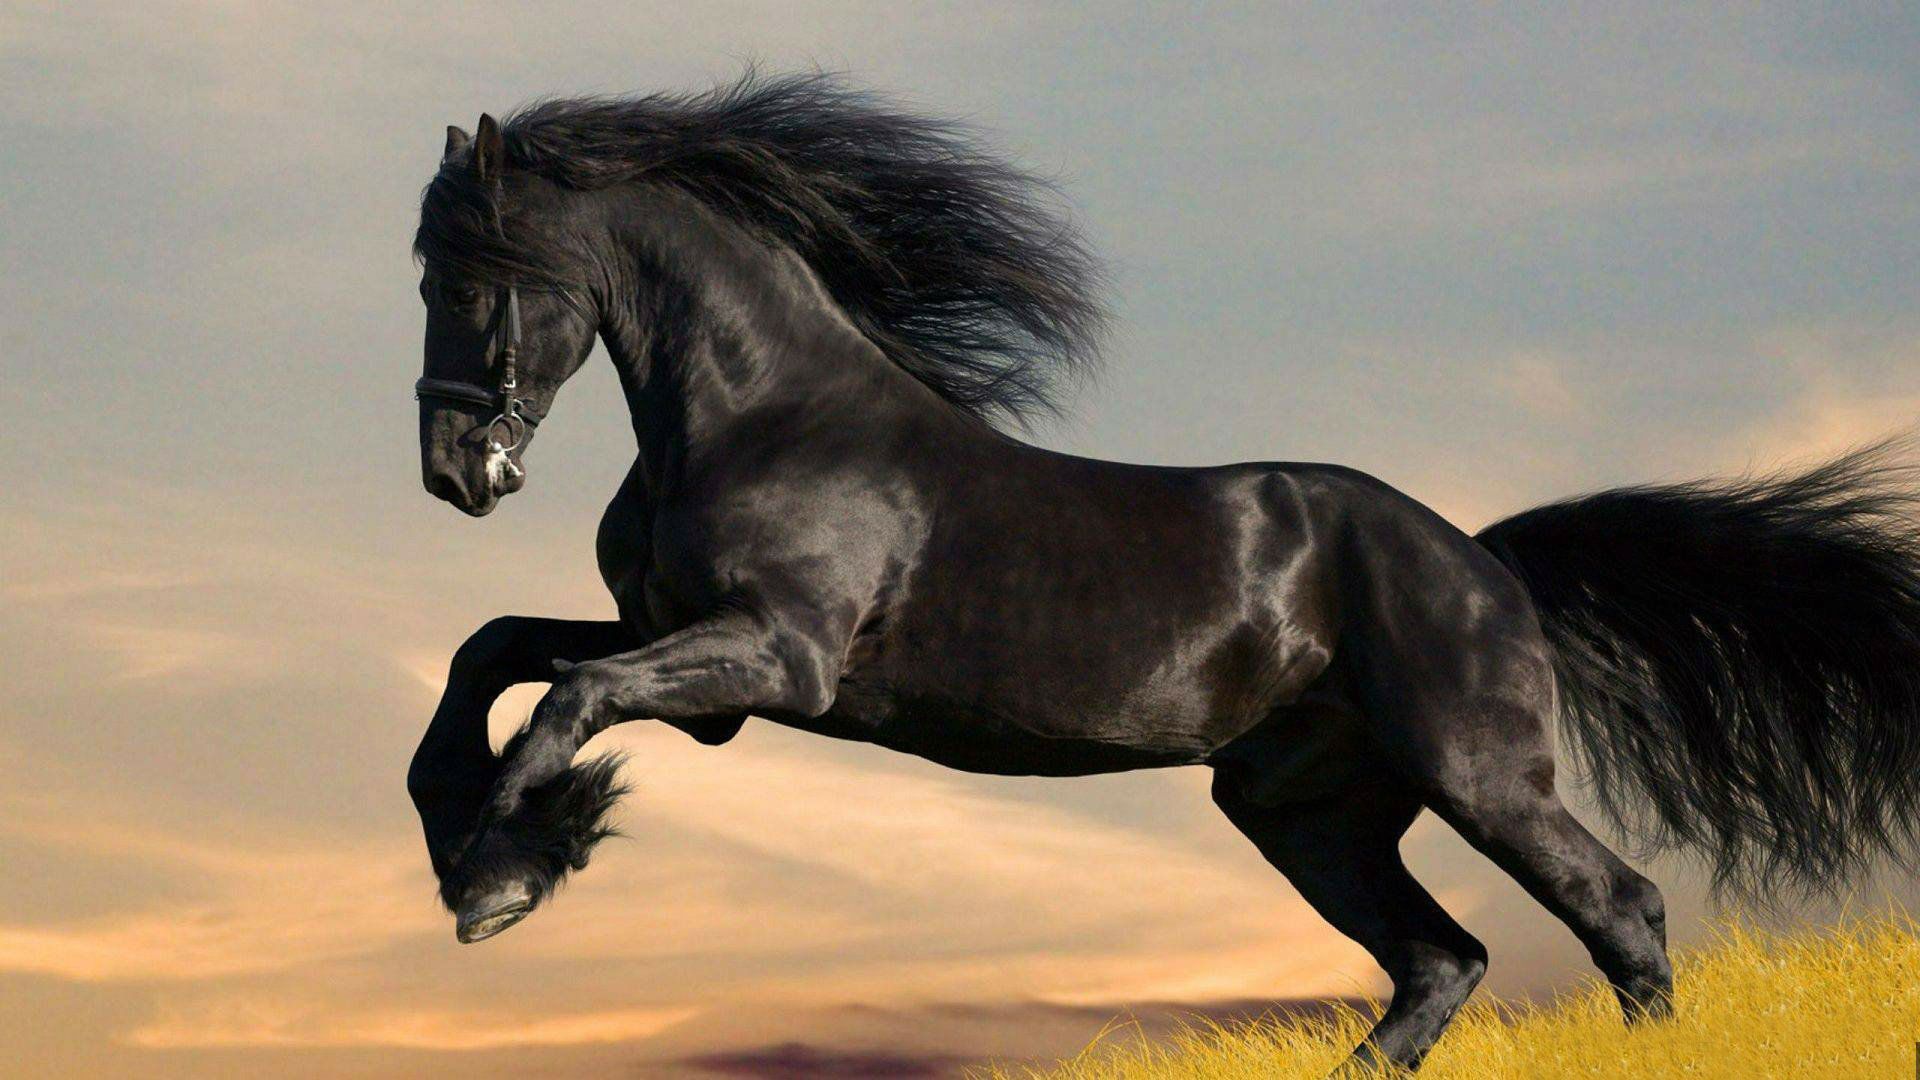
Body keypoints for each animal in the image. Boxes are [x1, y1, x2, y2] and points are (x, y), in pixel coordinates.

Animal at [405, 73, 1920, 1072]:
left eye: (467, 278)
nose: (454, 473)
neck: (767, 413)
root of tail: (1485, 563)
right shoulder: (692, 660)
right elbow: (494, 654)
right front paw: (478, 847)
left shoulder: (777, 659)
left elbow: (566, 698)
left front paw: (500, 879)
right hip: (1305, 810)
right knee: (1444, 960)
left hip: (1479, 774)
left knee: (1619, 911)